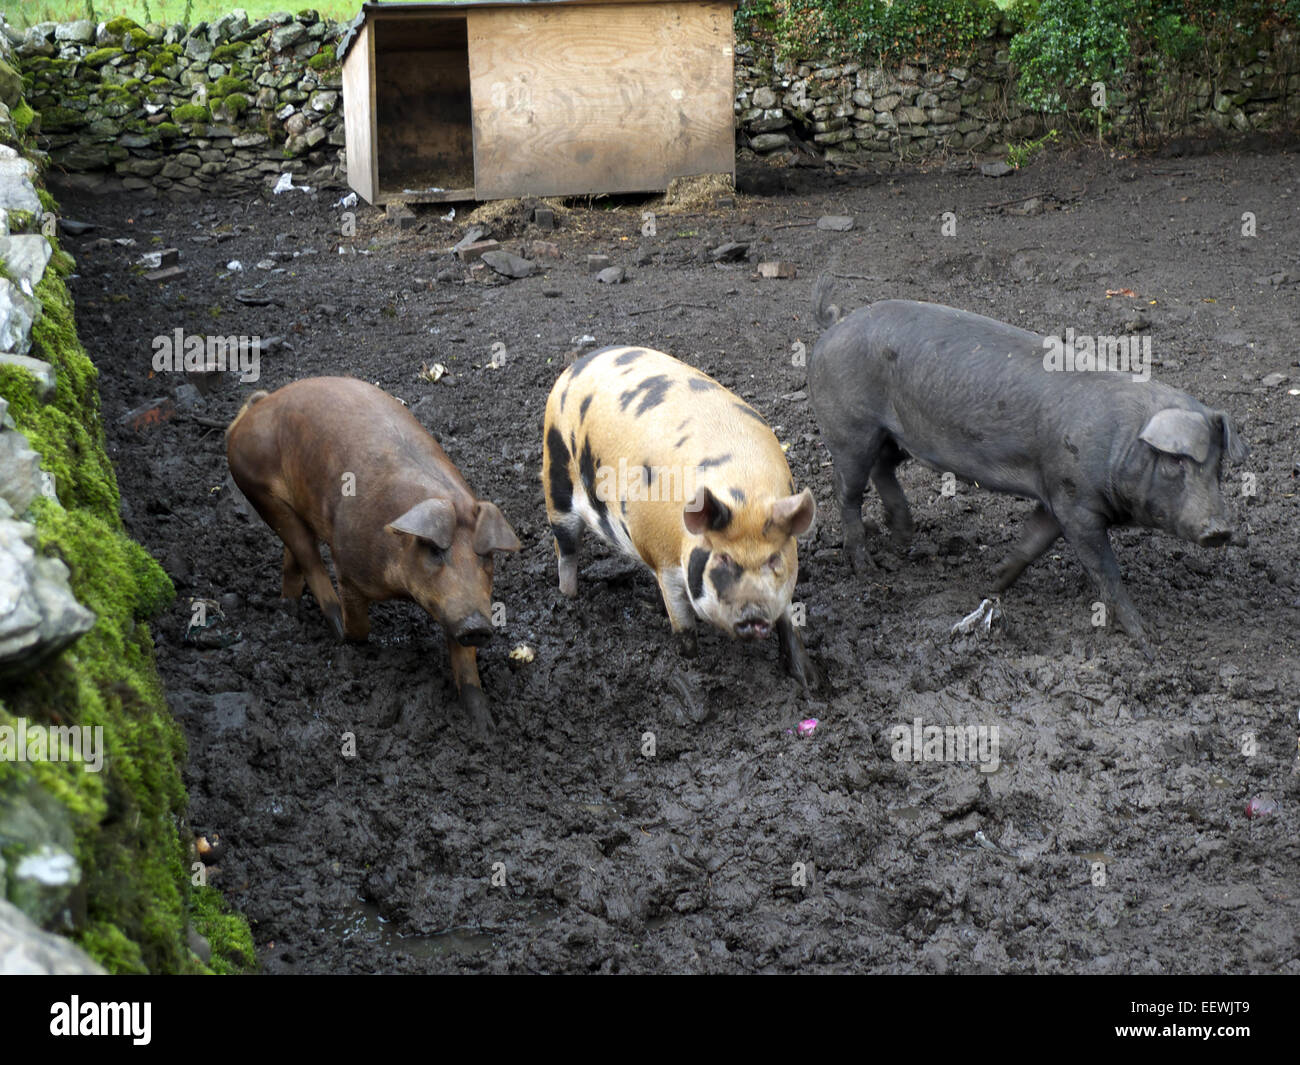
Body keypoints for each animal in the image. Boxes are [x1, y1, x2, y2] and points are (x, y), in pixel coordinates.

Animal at [225, 377, 520, 731]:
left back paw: (290, 609)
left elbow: (465, 664)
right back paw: (334, 626)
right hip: (256, 487)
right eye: (436, 551)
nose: (477, 624)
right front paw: (353, 640)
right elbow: (360, 626)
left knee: (293, 555)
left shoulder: (455, 606)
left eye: (484, 557)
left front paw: (485, 728)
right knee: (307, 555)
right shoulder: (349, 571)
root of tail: (255, 407)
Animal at [542, 345, 820, 689]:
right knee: (566, 549)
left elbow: (789, 623)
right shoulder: (665, 561)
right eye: (722, 558)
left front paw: (811, 682)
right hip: (556, 479)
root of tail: (578, 364)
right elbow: (684, 626)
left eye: (773, 559)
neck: (746, 497)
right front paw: (692, 665)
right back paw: (570, 598)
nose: (753, 615)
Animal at [807, 278, 1249, 649]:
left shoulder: (1055, 495)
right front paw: (1146, 638)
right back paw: (867, 569)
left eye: (1218, 467)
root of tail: (834, 325)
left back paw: (904, 541)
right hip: (850, 428)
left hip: (892, 434)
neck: (1121, 443)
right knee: (846, 491)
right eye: (1176, 463)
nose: (1221, 530)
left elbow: (1032, 542)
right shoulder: (1077, 502)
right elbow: (1105, 569)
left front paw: (992, 581)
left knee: (882, 470)